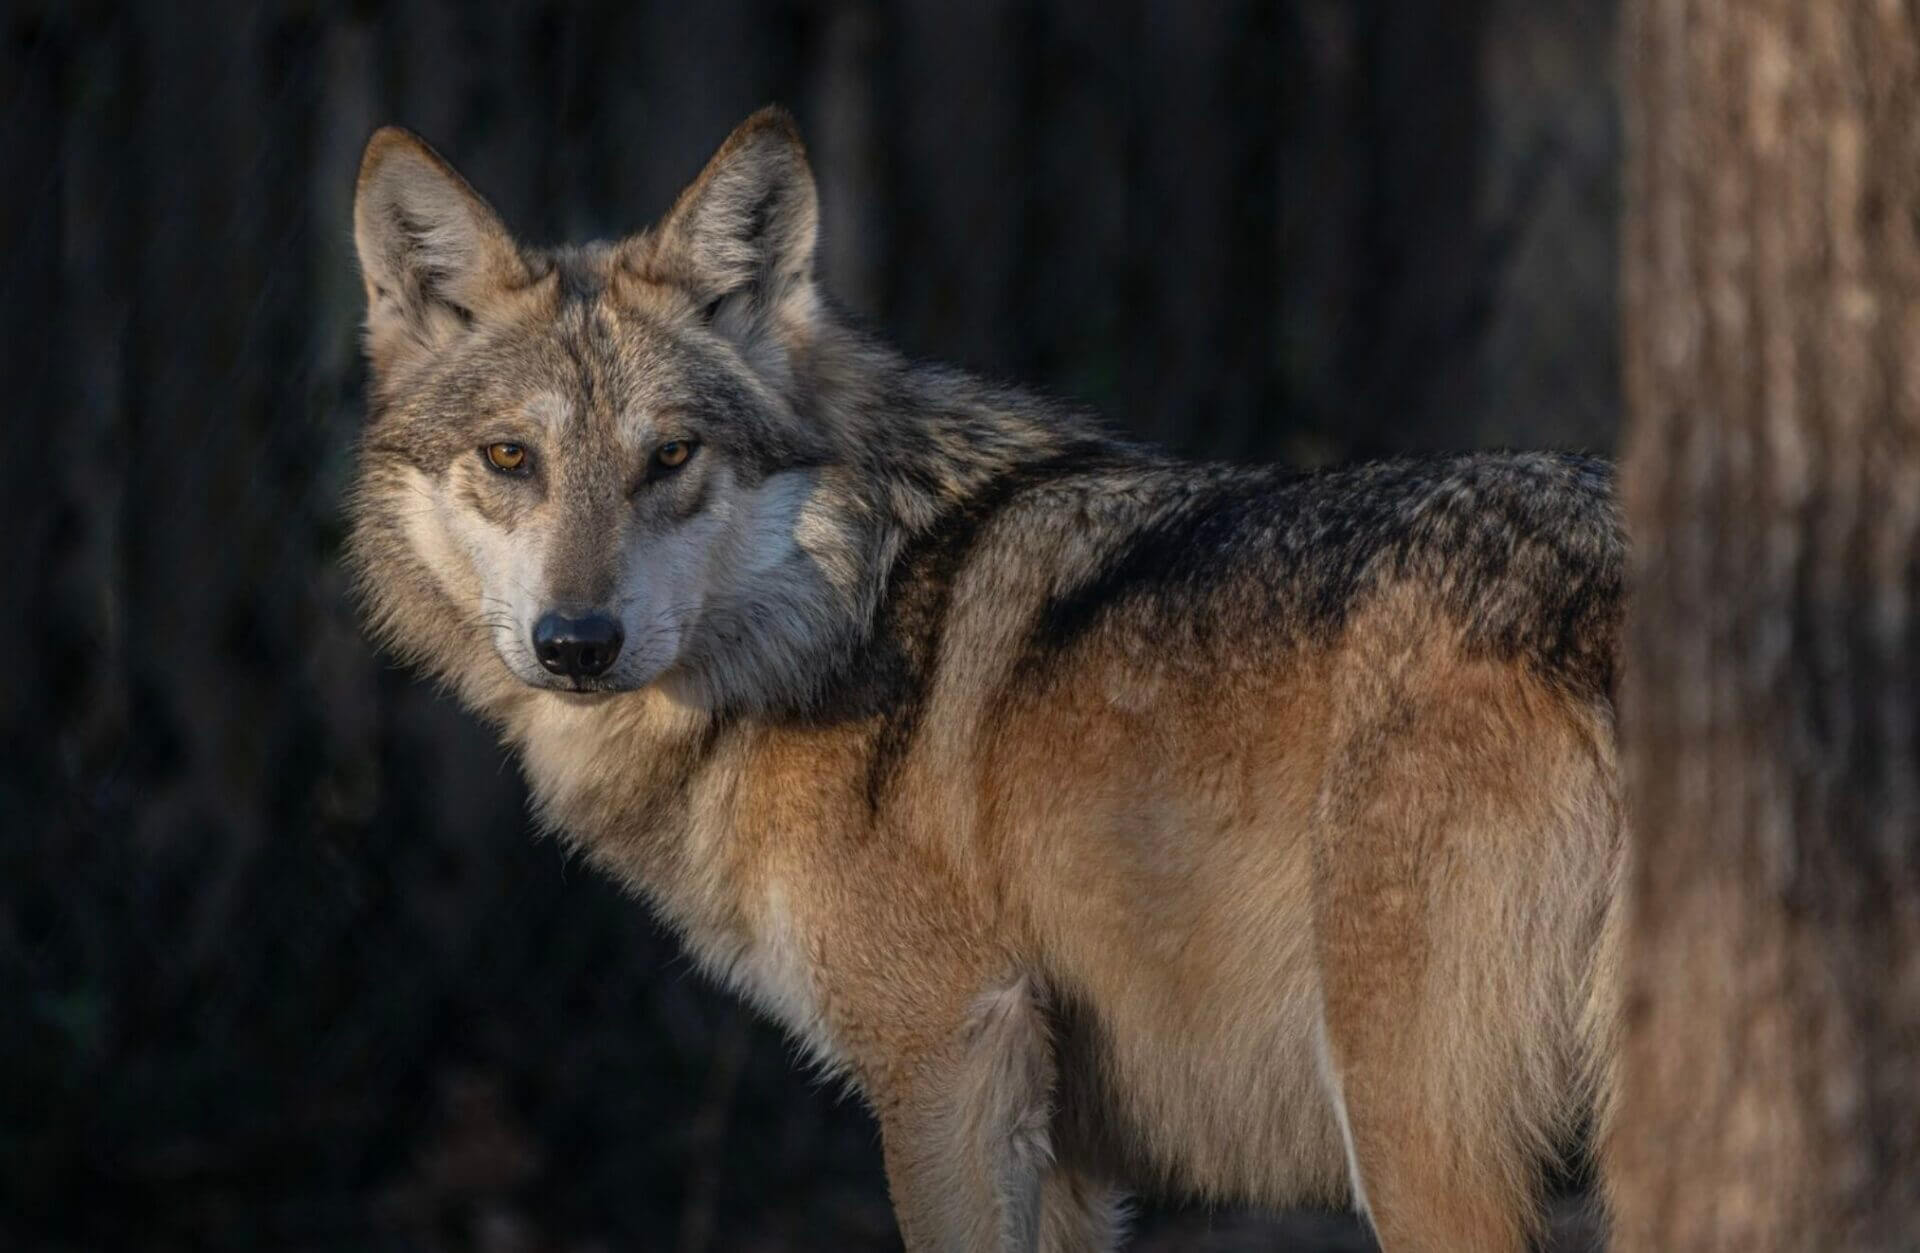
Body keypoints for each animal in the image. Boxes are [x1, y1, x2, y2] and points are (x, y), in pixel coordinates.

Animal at [347, 107, 1624, 1252]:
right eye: (511, 456)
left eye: (670, 456)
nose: (577, 641)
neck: (847, 605)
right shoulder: (1071, 1158)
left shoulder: (949, 1053)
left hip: (1411, 1139)